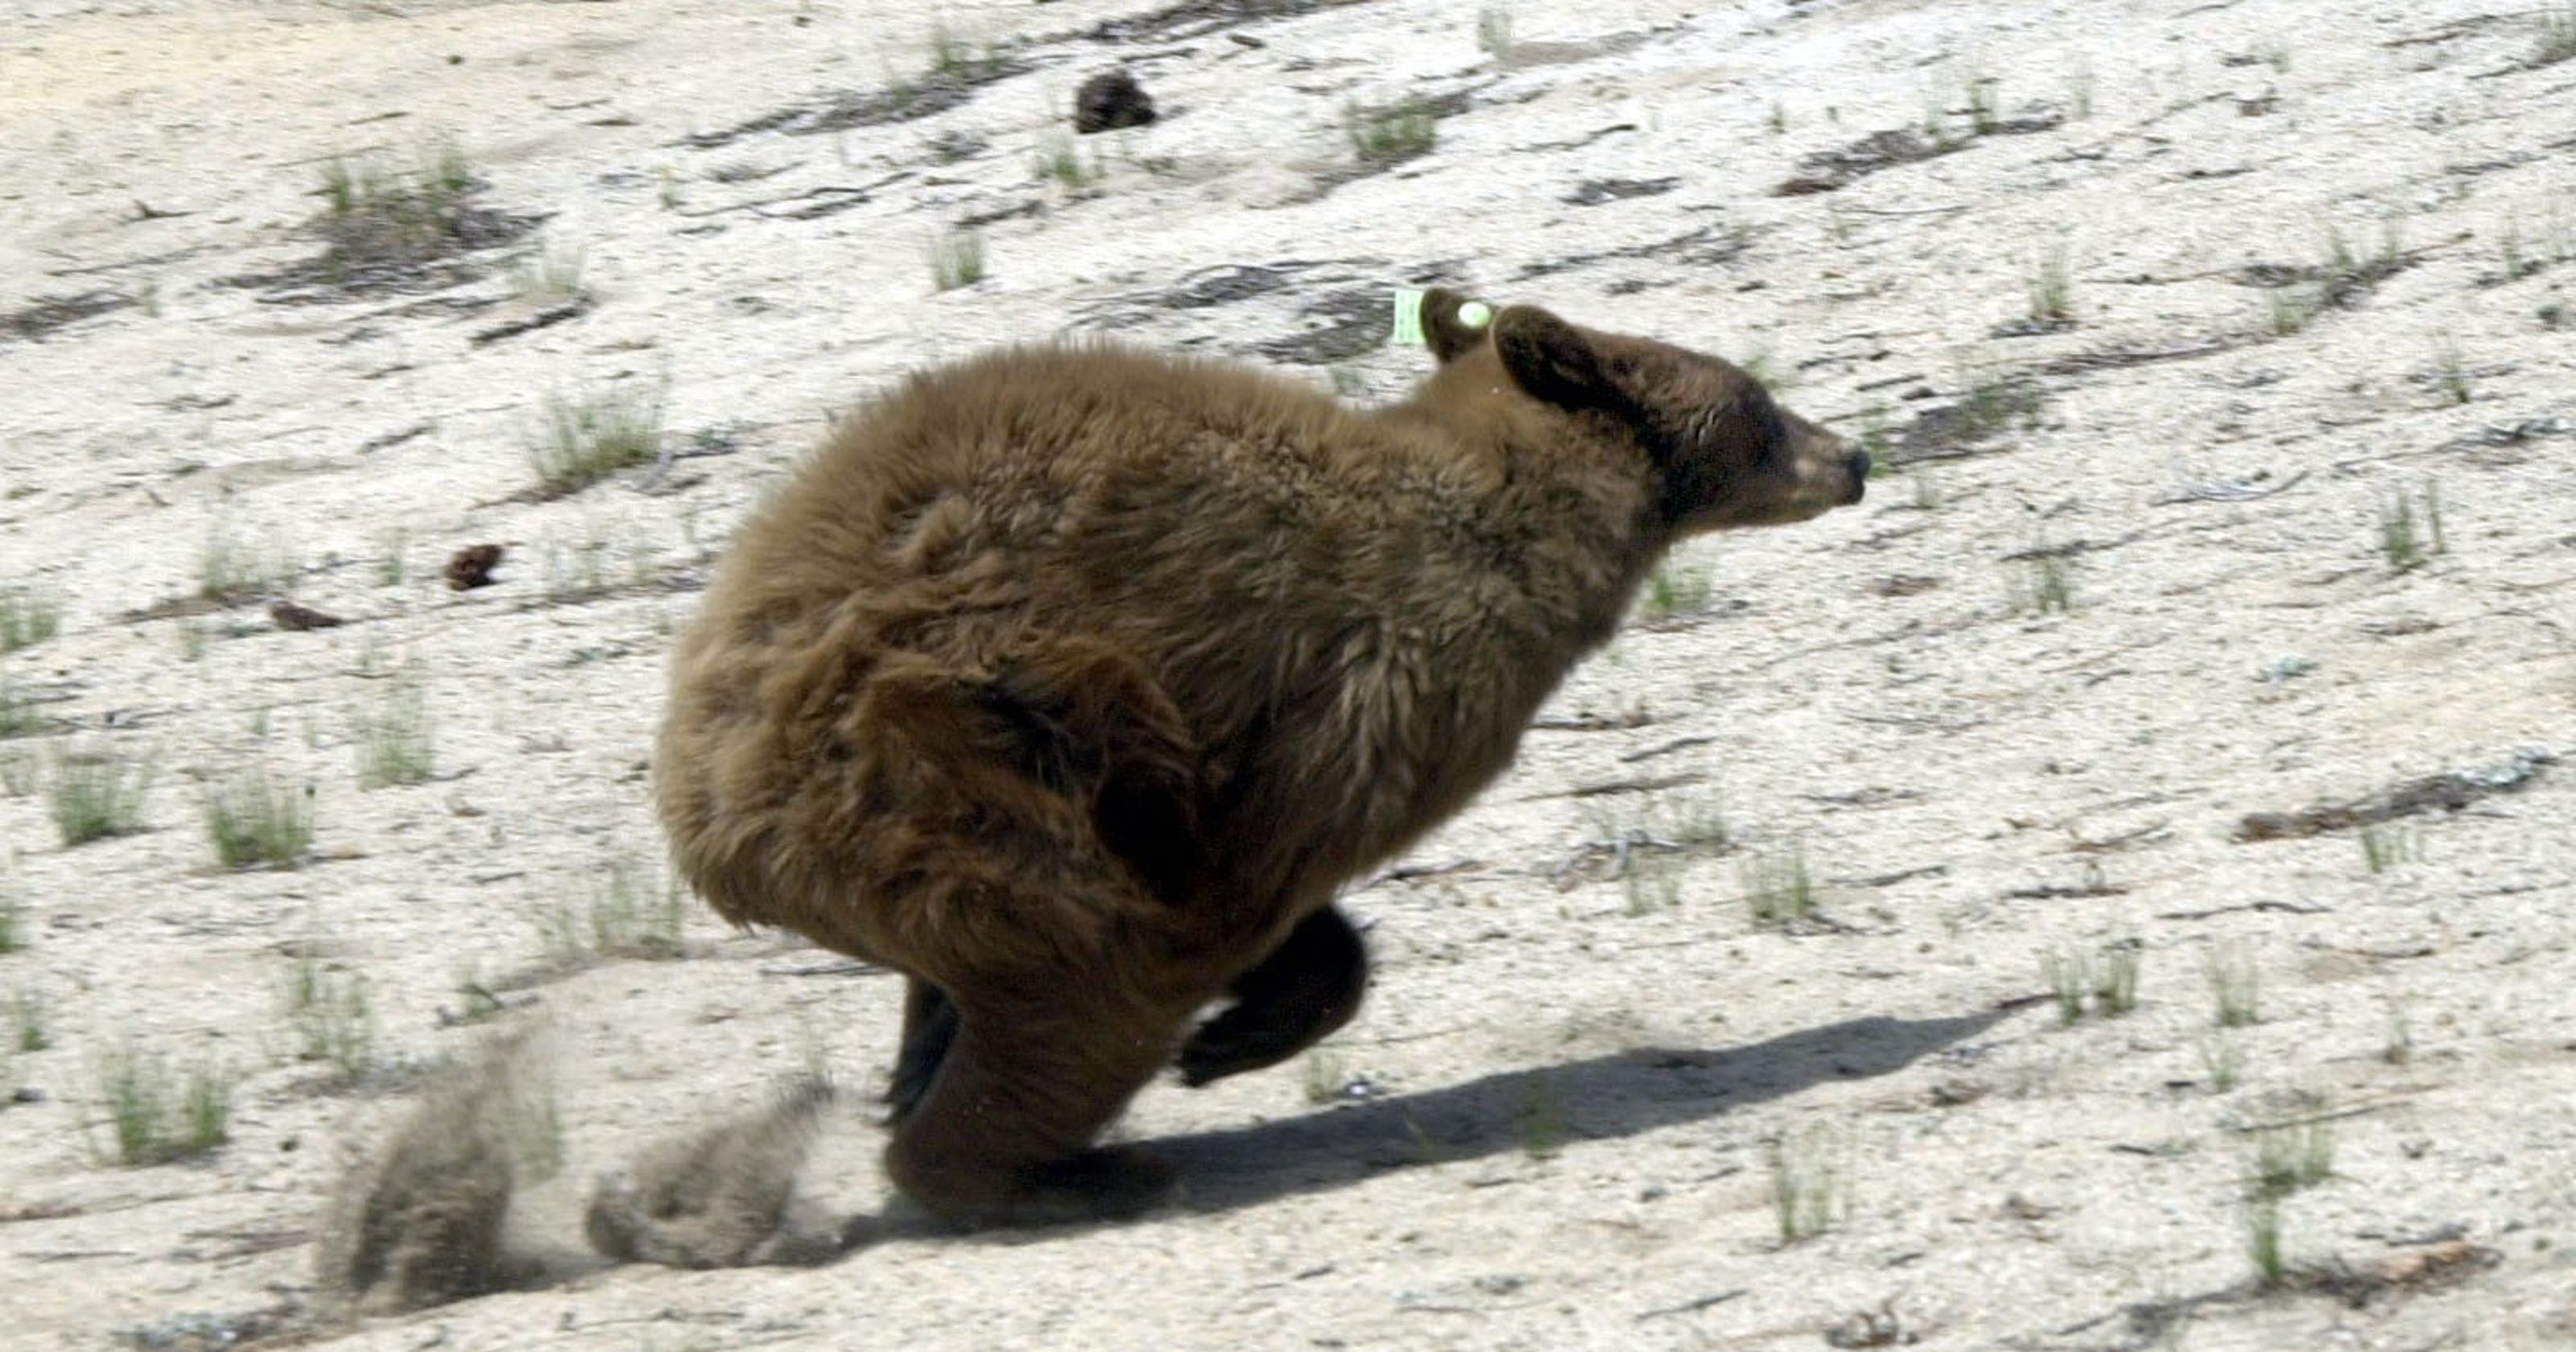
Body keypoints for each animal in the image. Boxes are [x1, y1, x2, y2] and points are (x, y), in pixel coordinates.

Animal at [654, 287, 1870, 1231]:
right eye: (1758, 406)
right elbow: (1249, 884)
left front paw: (1243, 1028)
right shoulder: (1363, 689)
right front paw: (1231, 1031)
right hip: (959, 775)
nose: (1852, 456)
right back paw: (1059, 1170)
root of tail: (704, 818)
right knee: (1089, 975)